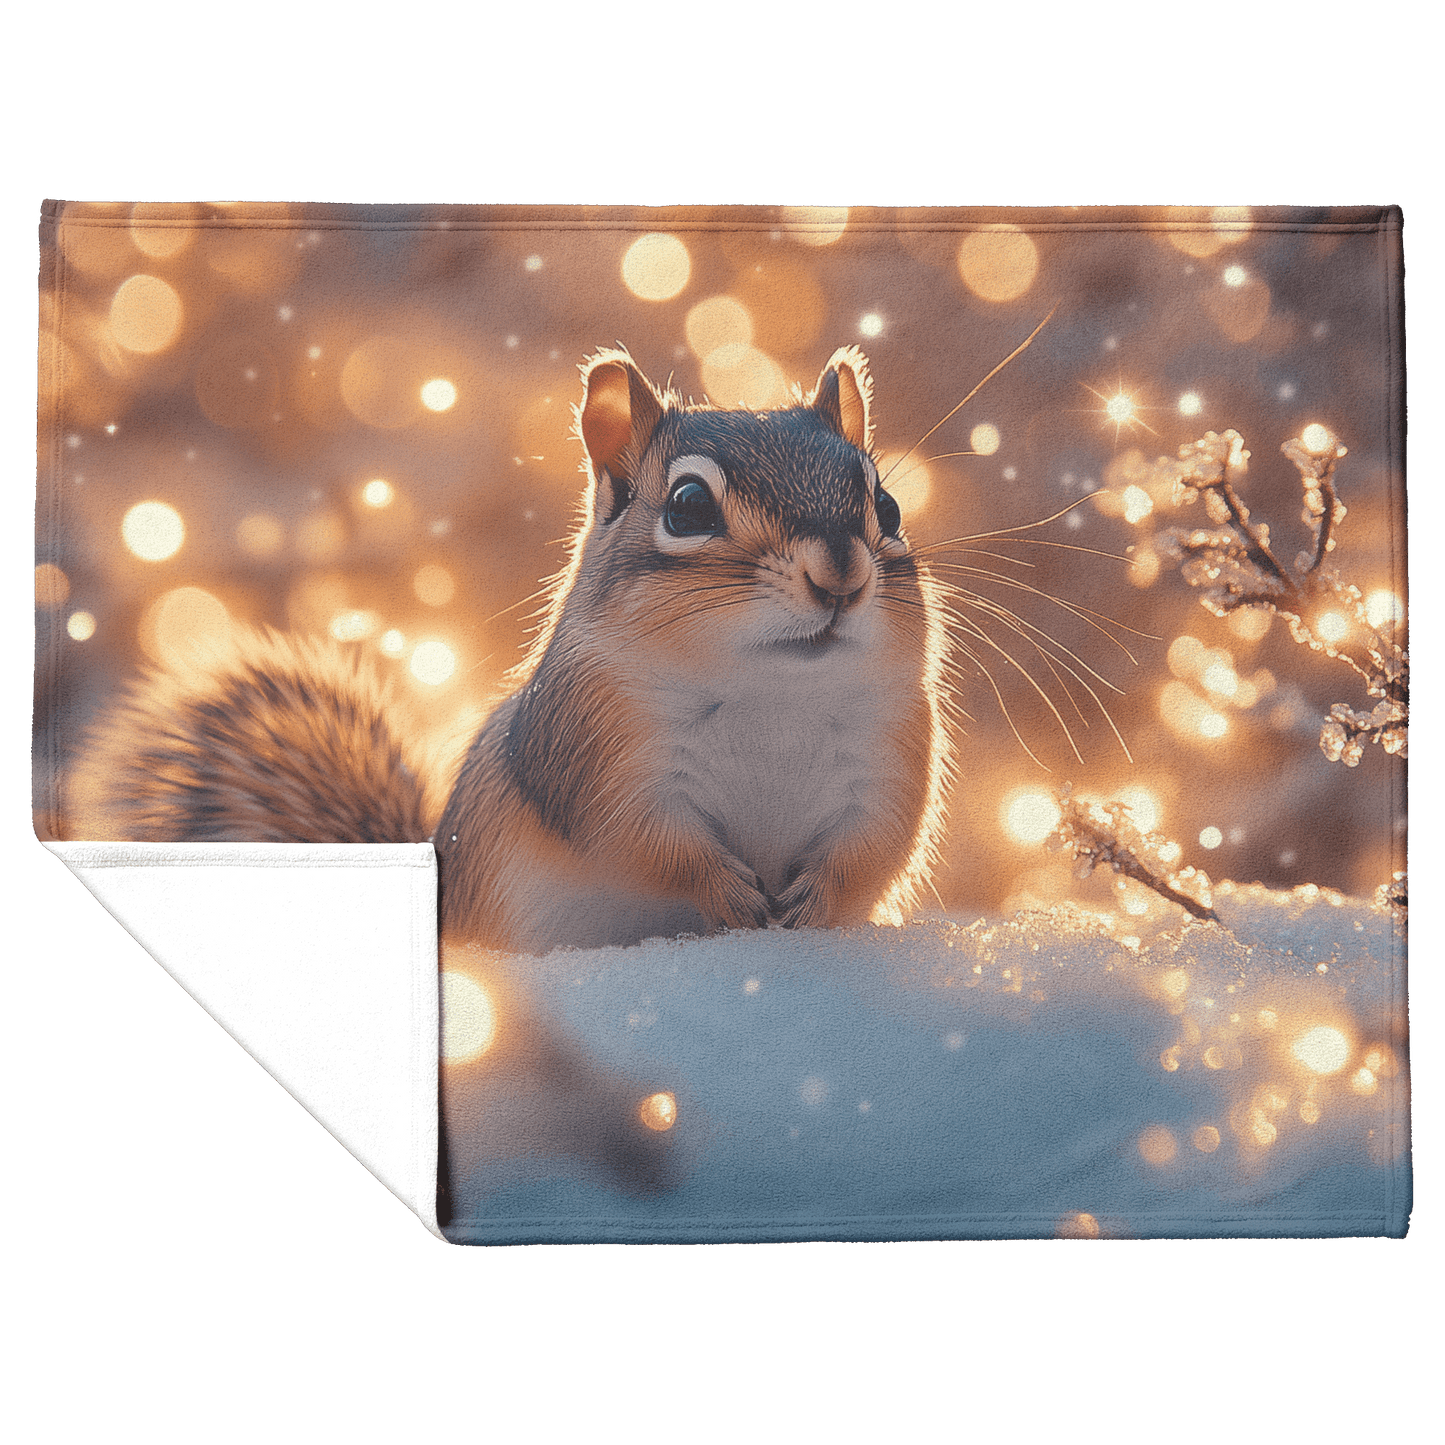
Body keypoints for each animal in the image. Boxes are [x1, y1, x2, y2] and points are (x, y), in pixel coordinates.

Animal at [78, 347, 953, 956]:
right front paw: (731, 894)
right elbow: (646, 845)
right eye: (687, 505)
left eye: (885, 504)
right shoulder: (594, 758)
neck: (776, 695)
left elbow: (873, 846)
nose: (840, 574)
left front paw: (812, 904)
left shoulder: (890, 762)